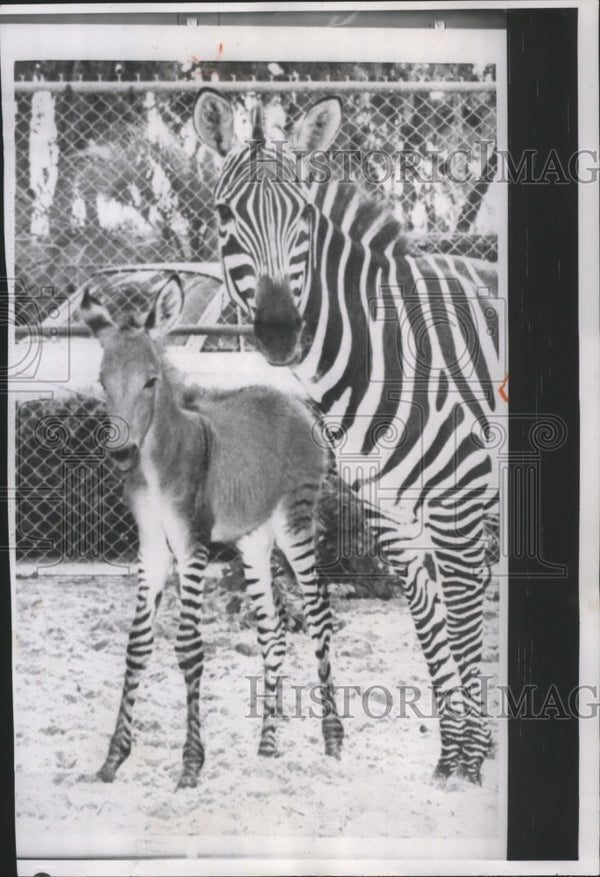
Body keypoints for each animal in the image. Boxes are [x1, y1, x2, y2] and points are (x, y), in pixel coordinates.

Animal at [80, 280, 343, 789]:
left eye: (151, 382)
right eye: (102, 382)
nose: (120, 454)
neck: (157, 466)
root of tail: (293, 401)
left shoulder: (192, 547)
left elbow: (188, 648)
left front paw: (191, 764)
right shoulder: (152, 551)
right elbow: (137, 646)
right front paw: (112, 758)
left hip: (295, 523)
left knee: (320, 616)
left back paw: (334, 739)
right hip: (254, 540)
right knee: (273, 632)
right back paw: (268, 744)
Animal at [193, 89, 506, 784]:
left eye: (304, 216)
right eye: (225, 213)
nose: (281, 332)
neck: (385, 350)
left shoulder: (457, 505)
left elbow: (464, 626)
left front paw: (473, 763)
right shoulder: (391, 518)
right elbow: (431, 632)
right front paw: (451, 757)